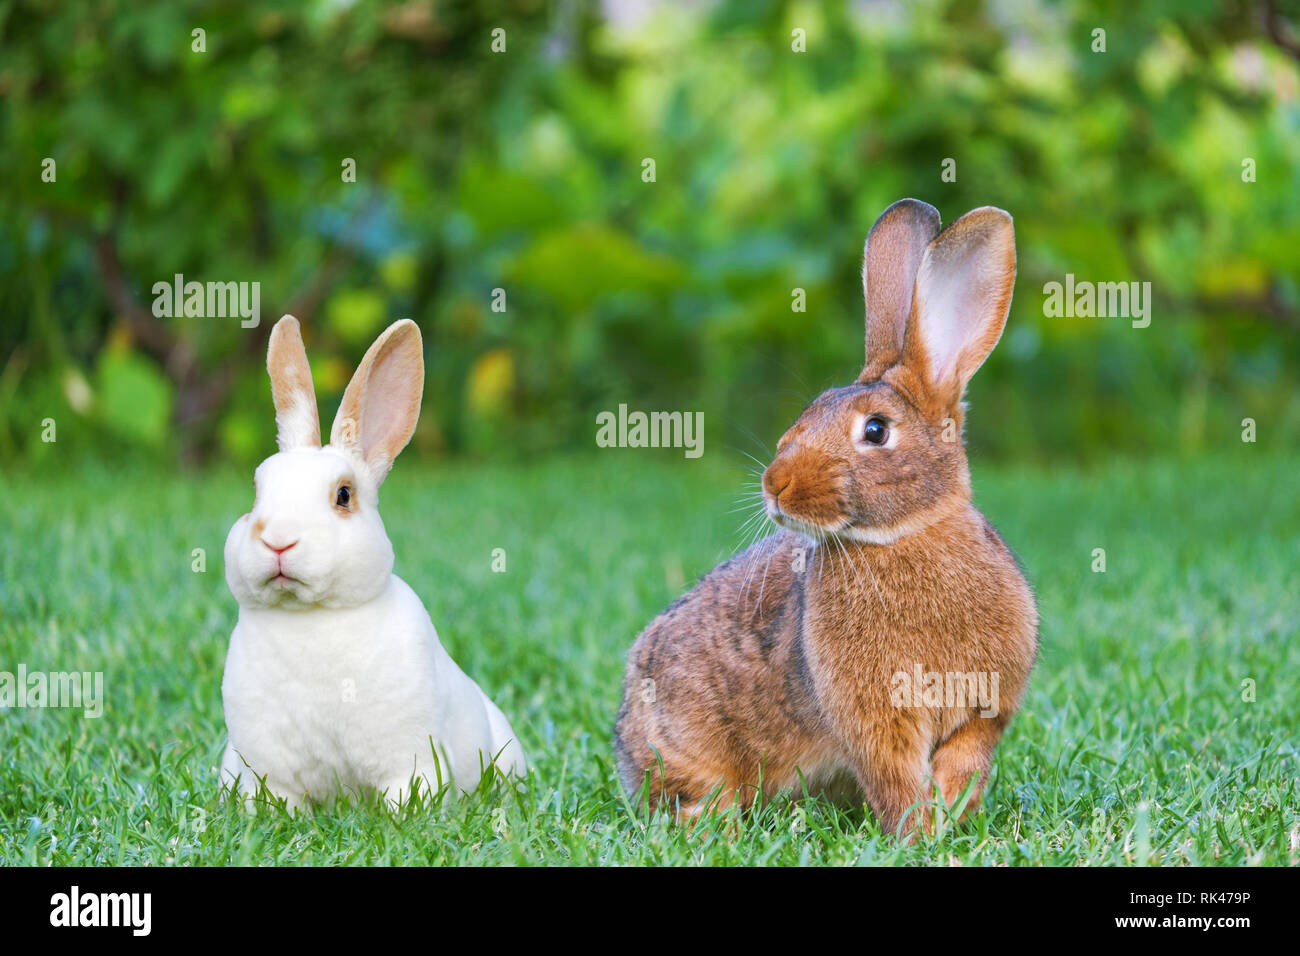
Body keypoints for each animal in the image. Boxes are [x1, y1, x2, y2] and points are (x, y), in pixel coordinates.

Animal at [220, 315, 526, 810]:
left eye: (344, 495)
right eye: (255, 490)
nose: (278, 541)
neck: (313, 616)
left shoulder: (409, 759)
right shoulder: (266, 770)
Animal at [614, 200, 1038, 838]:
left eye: (876, 430)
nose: (775, 483)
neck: (902, 534)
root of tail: (624, 744)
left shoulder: (984, 711)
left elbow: (965, 760)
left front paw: (949, 817)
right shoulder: (875, 722)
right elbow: (894, 776)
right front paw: (920, 832)